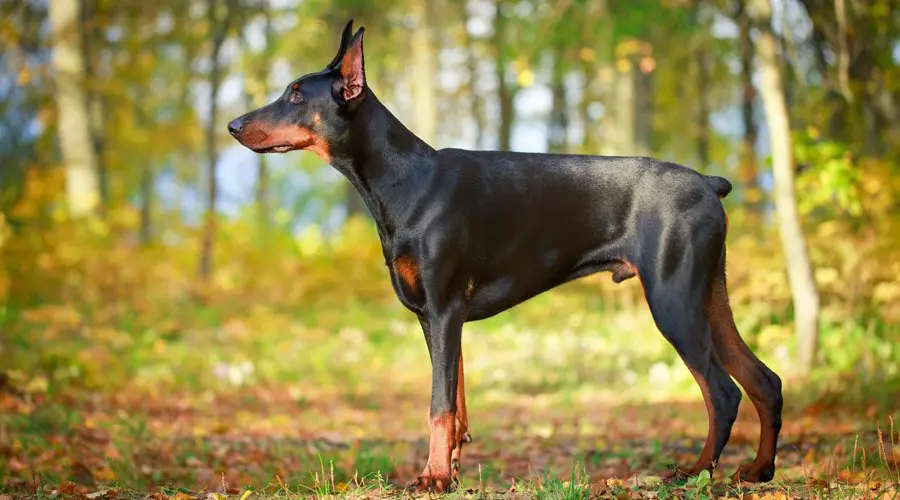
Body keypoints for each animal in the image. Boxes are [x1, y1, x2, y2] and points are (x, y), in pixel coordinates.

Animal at [229, 18, 784, 492]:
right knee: (764, 380)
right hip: (707, 296)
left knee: (723, 392)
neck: (403, 178)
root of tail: (709, 184)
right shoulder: (435, 319)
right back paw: (757, 470)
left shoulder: (444, 308)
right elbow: (456, 403)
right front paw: (450, 471)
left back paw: (693, 473)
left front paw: (433, 478)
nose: (234, 124)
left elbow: (438, 405)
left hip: (673, 299)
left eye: (295, 94)